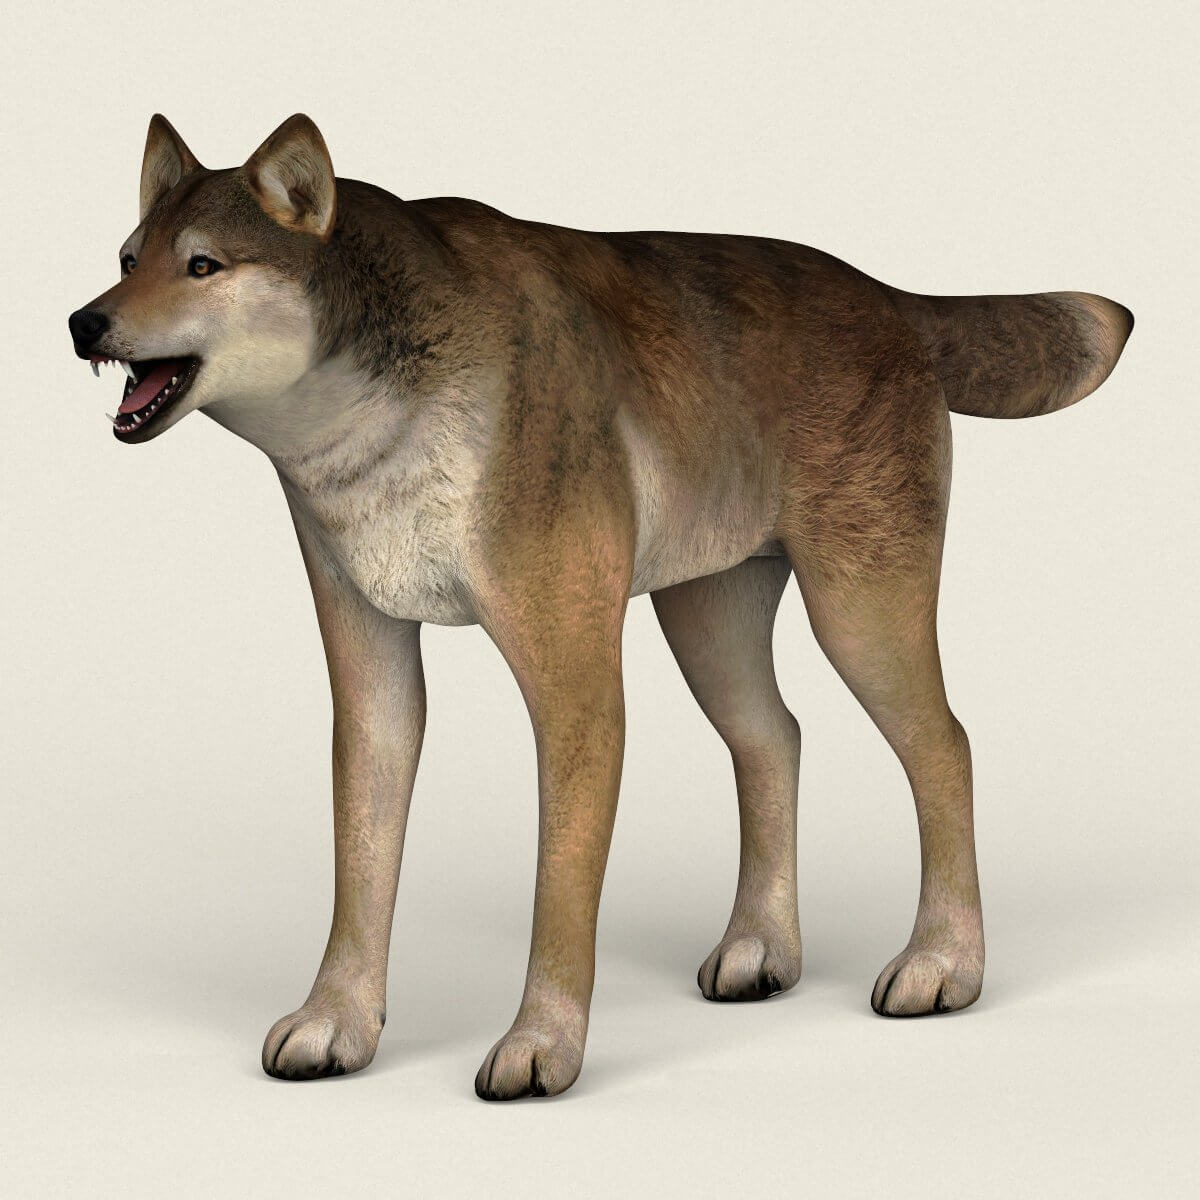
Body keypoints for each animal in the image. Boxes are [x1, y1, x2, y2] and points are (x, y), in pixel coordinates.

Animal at [68, 114, 1132, 1099]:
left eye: (202, 264)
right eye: (125, 259)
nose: (83, 323)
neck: (378, 423)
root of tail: (887, 295)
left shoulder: (576, 688)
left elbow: (560, 895)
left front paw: (542, 1046)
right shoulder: (372, 676)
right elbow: (361, 869)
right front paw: (338, 1024)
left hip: (858, 611)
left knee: (944, 745)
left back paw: (943, 964)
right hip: (708, 622)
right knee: (776, 738)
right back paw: (761, 949)